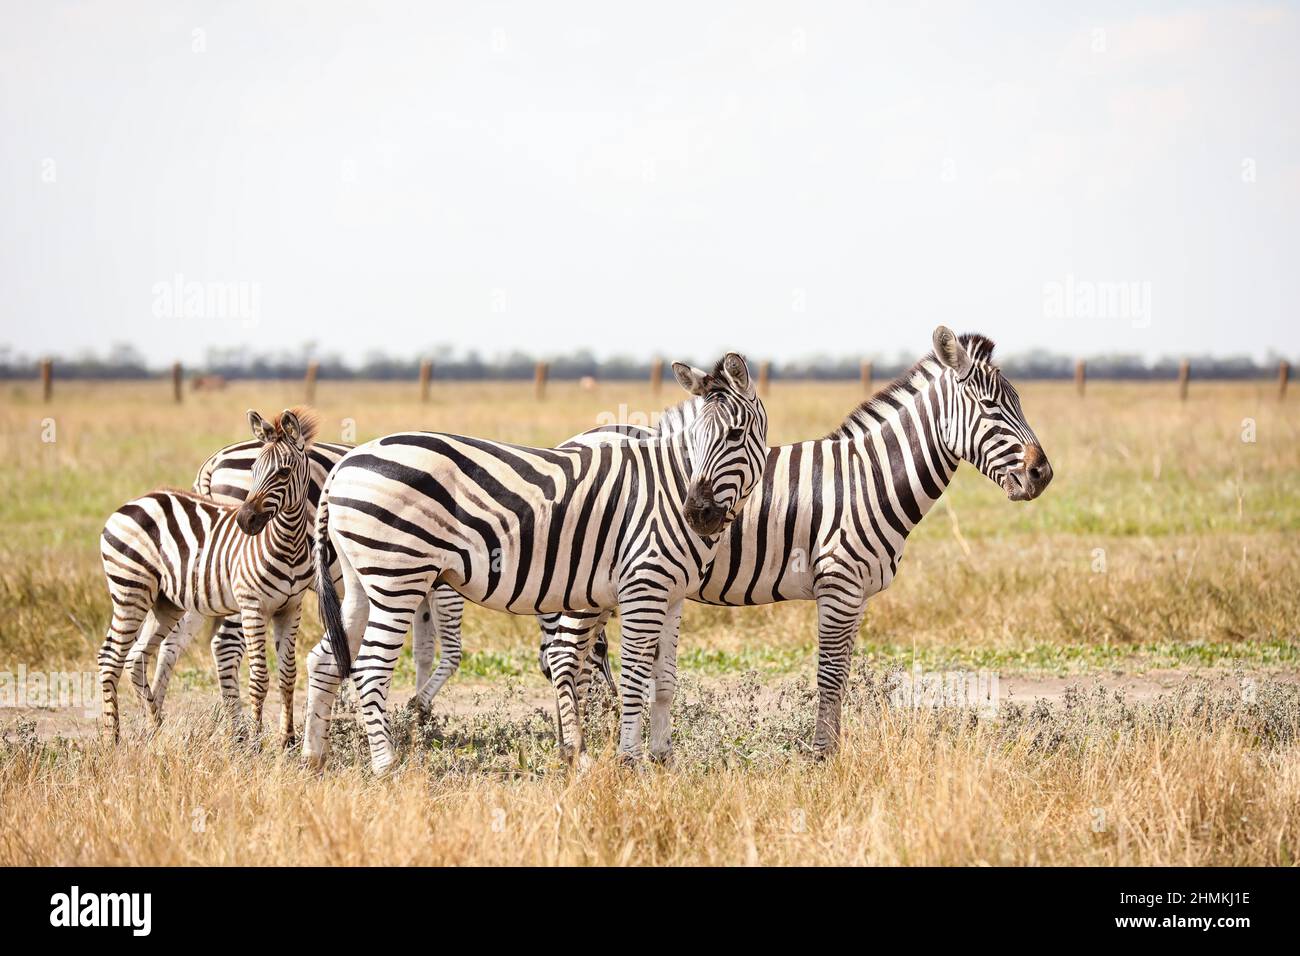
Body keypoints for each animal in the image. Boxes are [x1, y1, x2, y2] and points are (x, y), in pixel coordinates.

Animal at [97, 408, 321, 746]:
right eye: (252, 469)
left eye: (283, 473)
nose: (245, 520)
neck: (290, 545)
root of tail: (134, 502)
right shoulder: (253, 607)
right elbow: (259, 677)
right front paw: (257, 742)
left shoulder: (290, 608)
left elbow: (288, 675)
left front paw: (287, 741)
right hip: (130, 590)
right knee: (109, 658)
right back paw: (113, 738)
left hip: (165, 602)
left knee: (136, 657)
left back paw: (155, 727)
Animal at [301, 352, 769, 773]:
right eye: (695, 439)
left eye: (735, 434)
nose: (697, 513)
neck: (669, 486)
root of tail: (344, 464)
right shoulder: (644, 587)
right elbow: (637, 679)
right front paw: (631, 762)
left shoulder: (672, 595)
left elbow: (666, 680)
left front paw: (664, 759)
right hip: (398, 577)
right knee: (369, 668)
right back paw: (387, 767)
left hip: (362, 582)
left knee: (324, 659)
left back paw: (313, 758)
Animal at [534, 327, 1053, 757]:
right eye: (991, 407)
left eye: (1020, 401)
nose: (1042, 474)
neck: (868, 479)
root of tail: (572, 441)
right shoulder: (839, 585)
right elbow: (829, 675)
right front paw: (823, 758)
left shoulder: (858, 594)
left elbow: (842, 673)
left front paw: (834, 752)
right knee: (564, 656)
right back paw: (576, 752)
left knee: (574, 660)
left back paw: (571, 746)